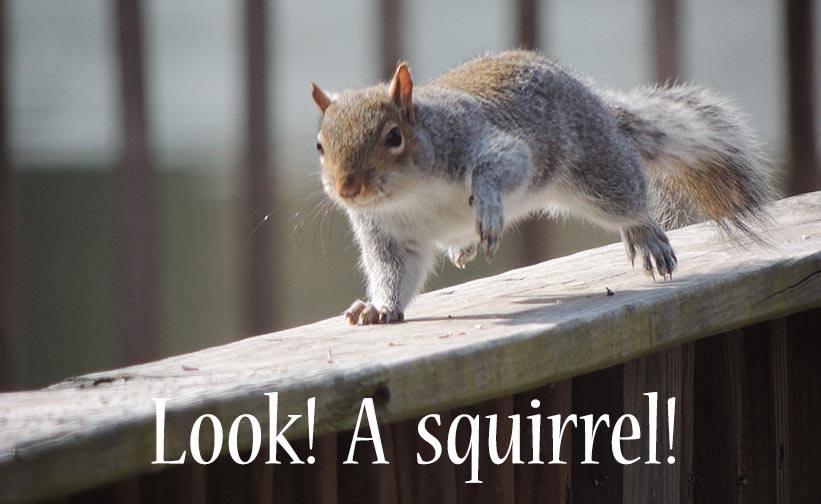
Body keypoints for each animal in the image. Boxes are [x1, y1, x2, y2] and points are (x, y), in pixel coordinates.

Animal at [310, 50, 773, 325]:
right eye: (320, 145)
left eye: (393, 137)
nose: (346, 189)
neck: (408, 194)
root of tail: (596, 102)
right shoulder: (388, 233)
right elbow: (394, 272)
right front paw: (380, 308)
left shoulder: (481, 141)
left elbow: (504, 165)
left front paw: (488, 205)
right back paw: (463, 246)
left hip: (597, 171)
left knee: (629, 198)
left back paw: (646, 235)